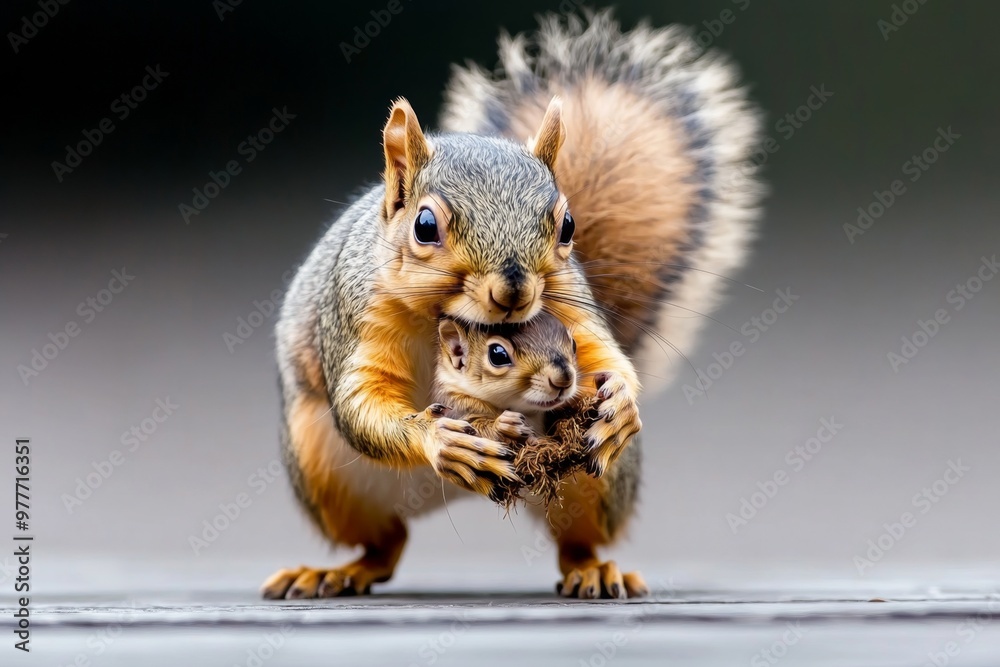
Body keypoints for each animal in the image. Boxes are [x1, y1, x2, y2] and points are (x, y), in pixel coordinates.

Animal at [261, 10, 762, 600]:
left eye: (568, 225)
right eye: (424, 226)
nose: (514, 291)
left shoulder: (570, 307)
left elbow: (604, 352)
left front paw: (621, 402)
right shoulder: (356, 315)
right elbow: (360, 403)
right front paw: (439, 439)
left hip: (595, 482)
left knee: (574, 541)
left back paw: (594, 568)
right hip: (325, 473)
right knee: (384, 546)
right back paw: (336, 572)